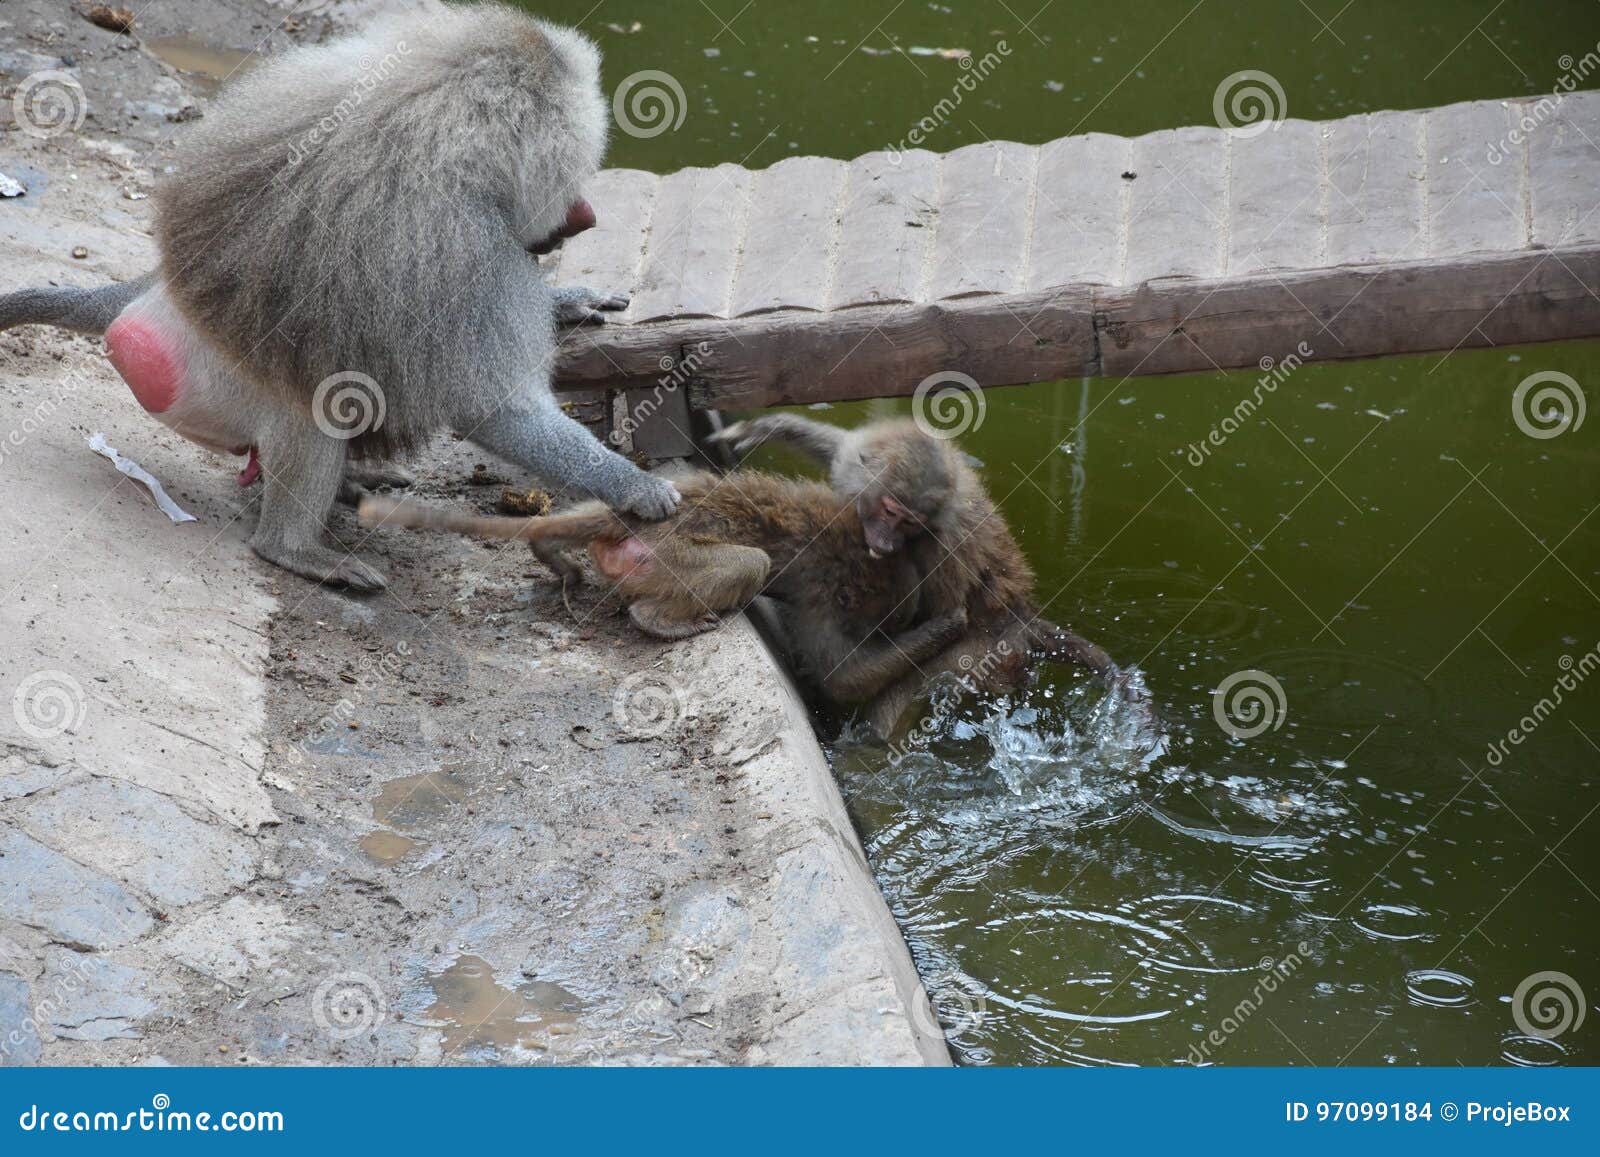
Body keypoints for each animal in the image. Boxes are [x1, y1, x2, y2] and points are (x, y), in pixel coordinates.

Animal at [0, 4, 678, 591]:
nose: (587, 216)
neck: (433, 122)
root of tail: (153, 293)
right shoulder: (471, 254)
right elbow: (495, 408)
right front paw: (633, 487)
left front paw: (569, 301)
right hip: (203, 382)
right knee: (321, 398)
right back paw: (298, 551)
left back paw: (354, 484)